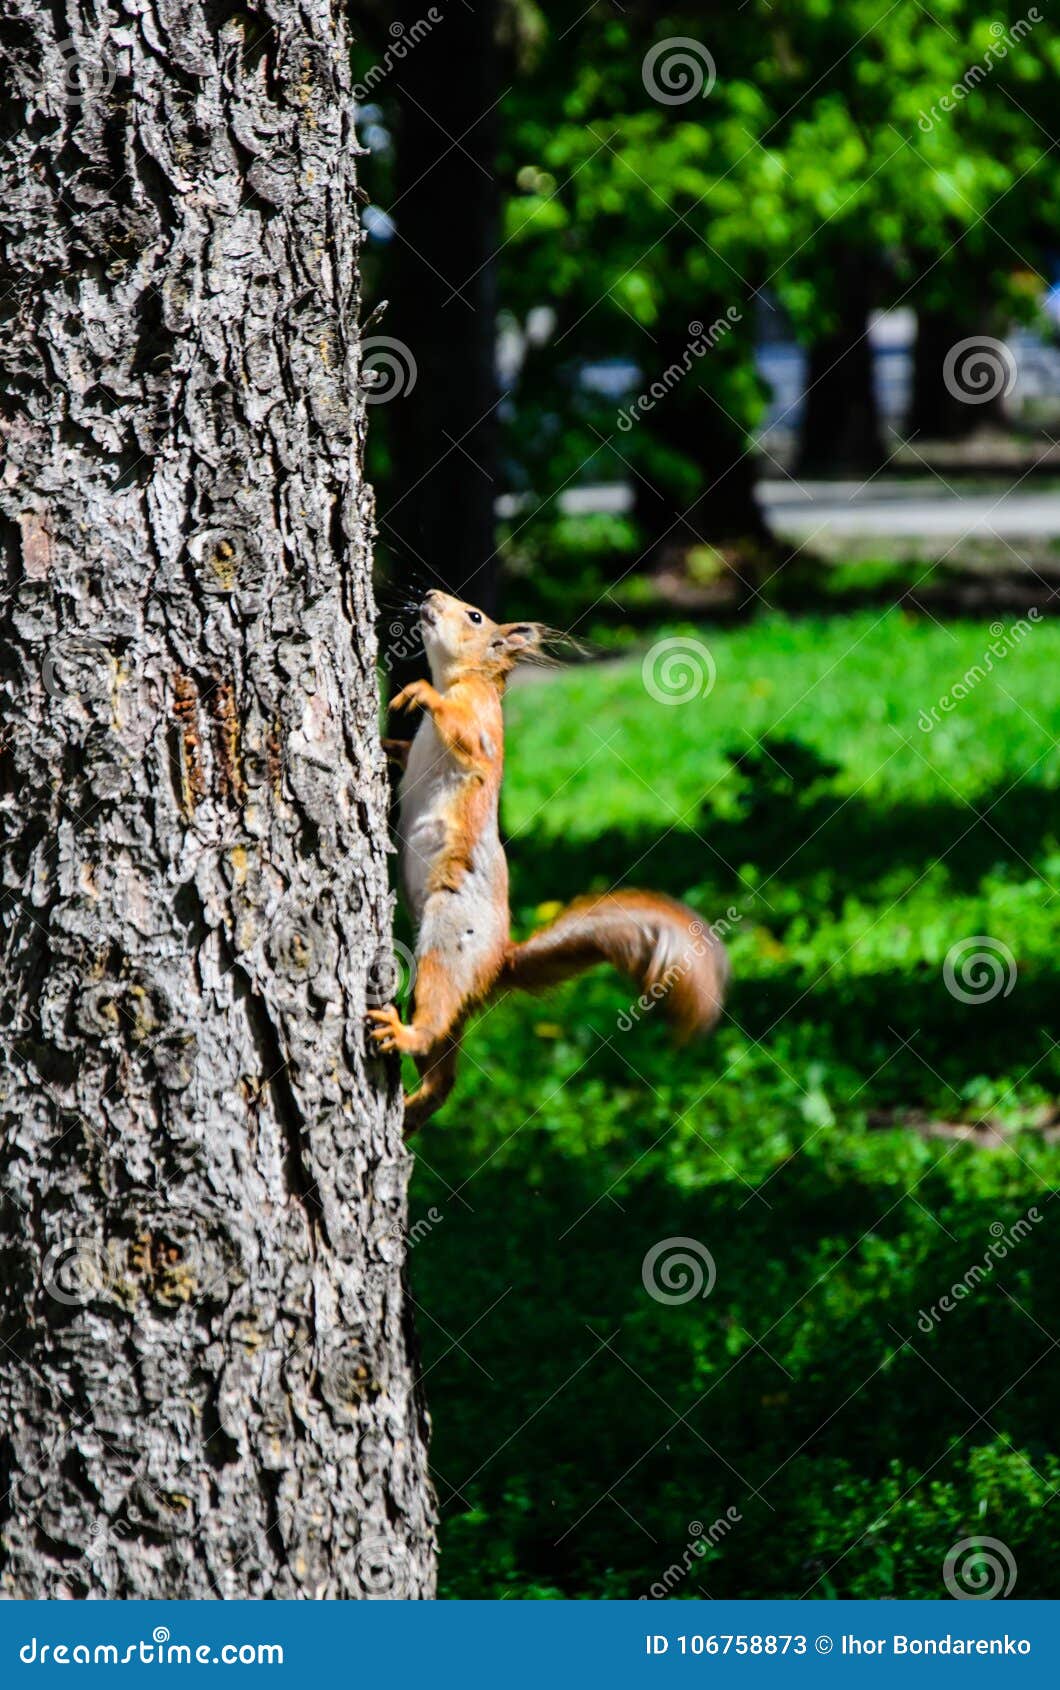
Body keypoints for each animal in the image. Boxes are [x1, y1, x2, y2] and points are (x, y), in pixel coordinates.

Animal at [367, 588, 729, 1133]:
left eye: (475, 616)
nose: (429, 594)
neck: (460, 680)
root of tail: (500, 959)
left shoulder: (483, 731)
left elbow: (463, 734)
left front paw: (418, 694)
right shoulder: (420, 748)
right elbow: (405, 751)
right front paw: (383, 743)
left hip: (448, 948)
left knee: (433, 1024)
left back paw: (402, 1039)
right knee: (444, 1073)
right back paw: (412, 1112)